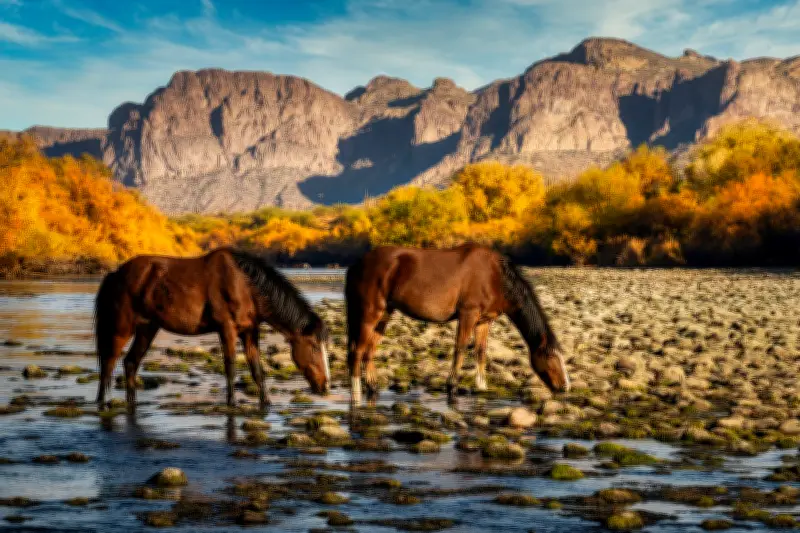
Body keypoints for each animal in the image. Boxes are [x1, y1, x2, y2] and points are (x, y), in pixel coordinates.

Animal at [93, 247, 330, 412]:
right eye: (314, 346)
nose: (325, 386)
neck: (245, 285)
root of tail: (115, 273)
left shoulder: (249, 332)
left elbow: (257, 369)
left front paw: (267, 402)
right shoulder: (227, 329)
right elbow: (231, 366)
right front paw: (232, 402)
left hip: (147, 329)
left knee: (130, 363)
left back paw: (131, 402)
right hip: (121, 329)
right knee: (108, 363)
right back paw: (102, 402)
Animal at [344, 243, 570, 404]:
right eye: (550, 357)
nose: (564, 387)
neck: (495, 277)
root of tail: (357, 264)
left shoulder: (484, 321)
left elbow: (480, 351)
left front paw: (482, 387)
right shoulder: (468, 314)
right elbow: (460, 348)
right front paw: (451, 386)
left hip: (384, 315)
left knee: (369, 351)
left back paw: (372, 387)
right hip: (370, 314)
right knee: (357, 351)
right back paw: (356, 394)